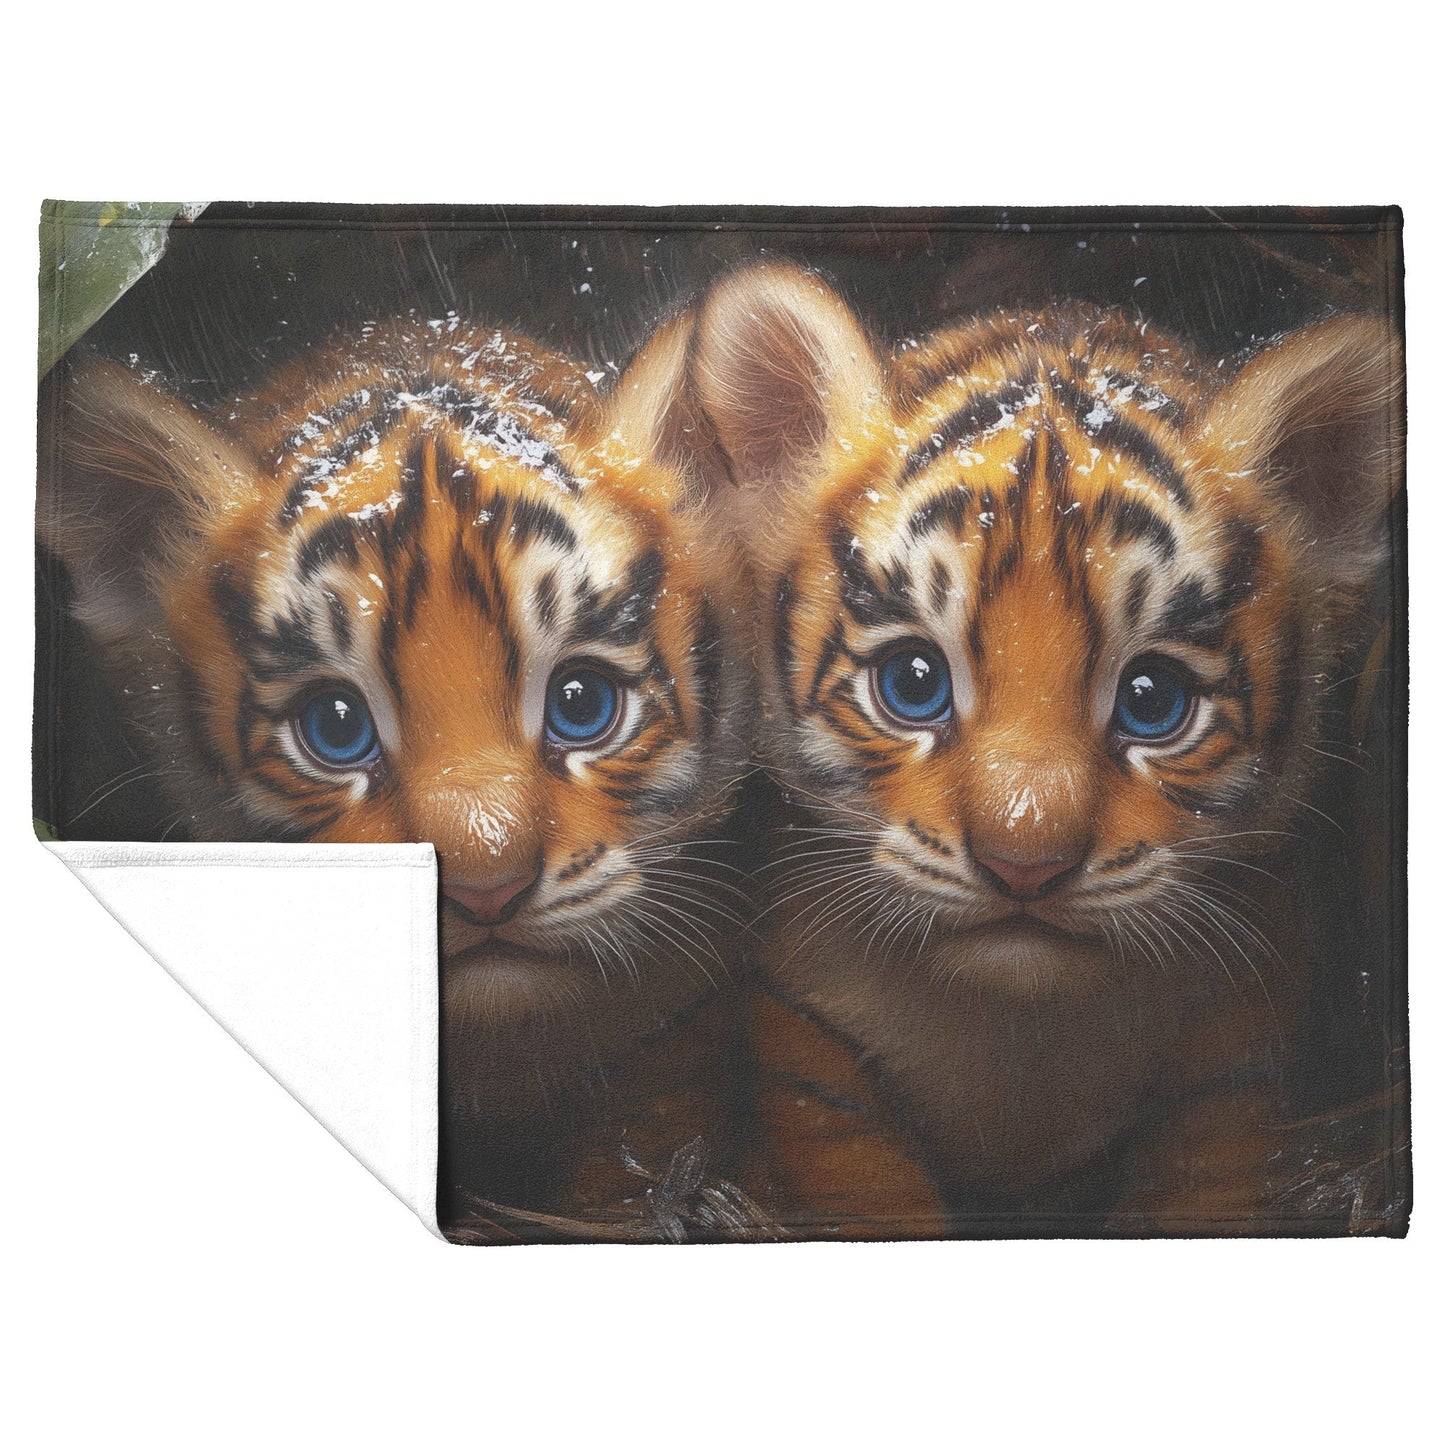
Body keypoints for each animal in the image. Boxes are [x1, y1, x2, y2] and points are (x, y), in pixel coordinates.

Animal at [668, 260, 1401, 1236]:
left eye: (1152, 700)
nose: (1025, 863)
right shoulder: (806, 1046)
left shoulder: (1235, 1061)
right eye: (911, 682)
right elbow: (857, 1171)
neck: (1021, 1045)